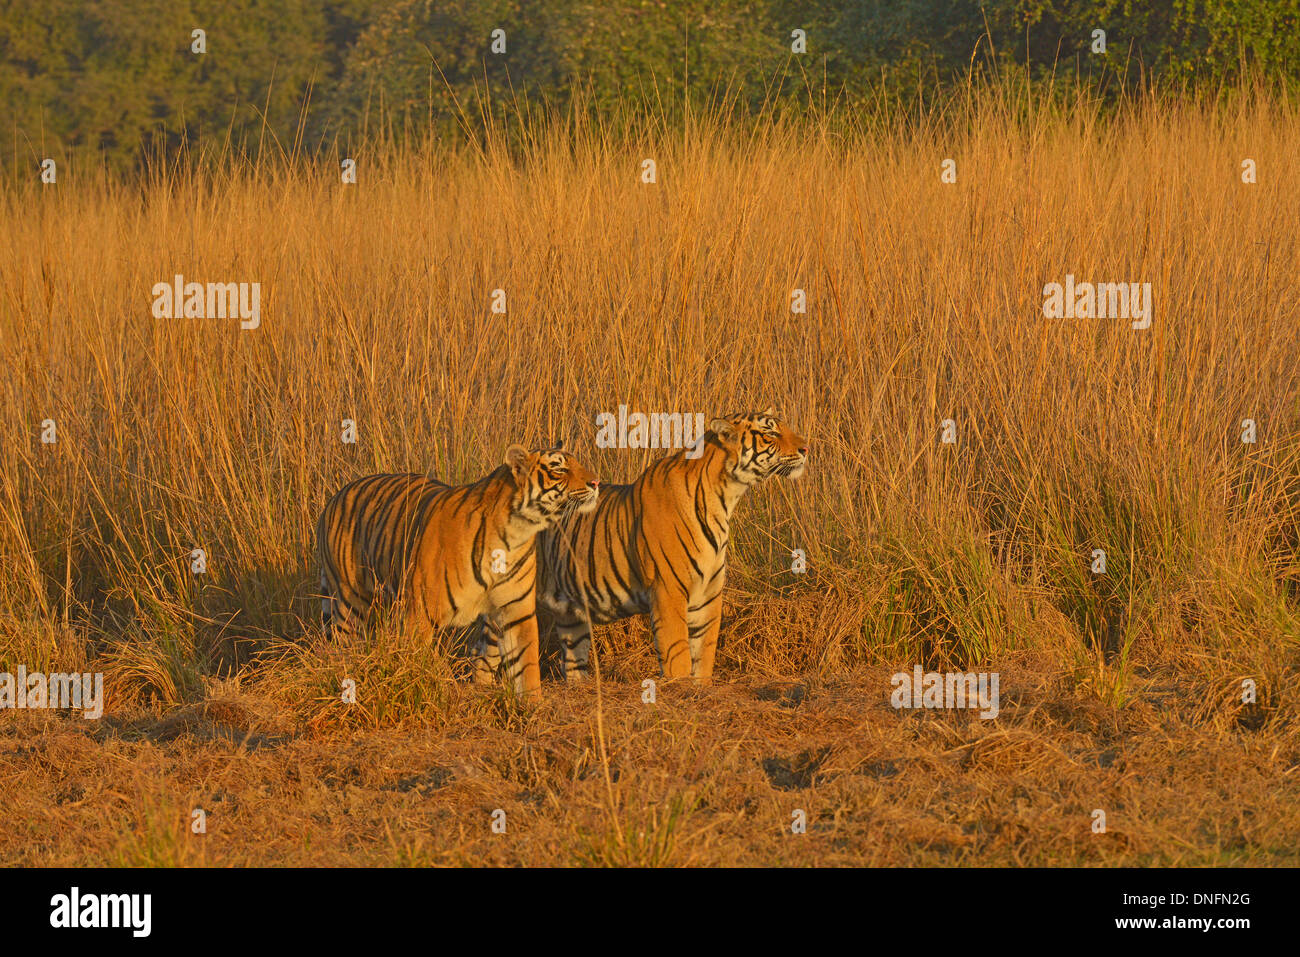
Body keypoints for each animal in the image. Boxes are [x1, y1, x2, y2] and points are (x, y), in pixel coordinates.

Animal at [315, 445, 600, 694]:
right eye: (559, 469)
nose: (596, 483)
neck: (517, 531)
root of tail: (333, 498)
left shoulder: (516, 610)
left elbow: (526, 666)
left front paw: (532, 707)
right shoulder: (420, 613)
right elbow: (416, 665)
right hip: (351, 604)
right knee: (341, 646)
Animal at [535, 408, 807, 682]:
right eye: (770, 433)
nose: (806, 448)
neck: (725, 497)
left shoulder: (708, 596)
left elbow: (704, 655)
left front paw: (700, 686)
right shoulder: (668, 591)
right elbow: (678, 657)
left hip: (571, 618)